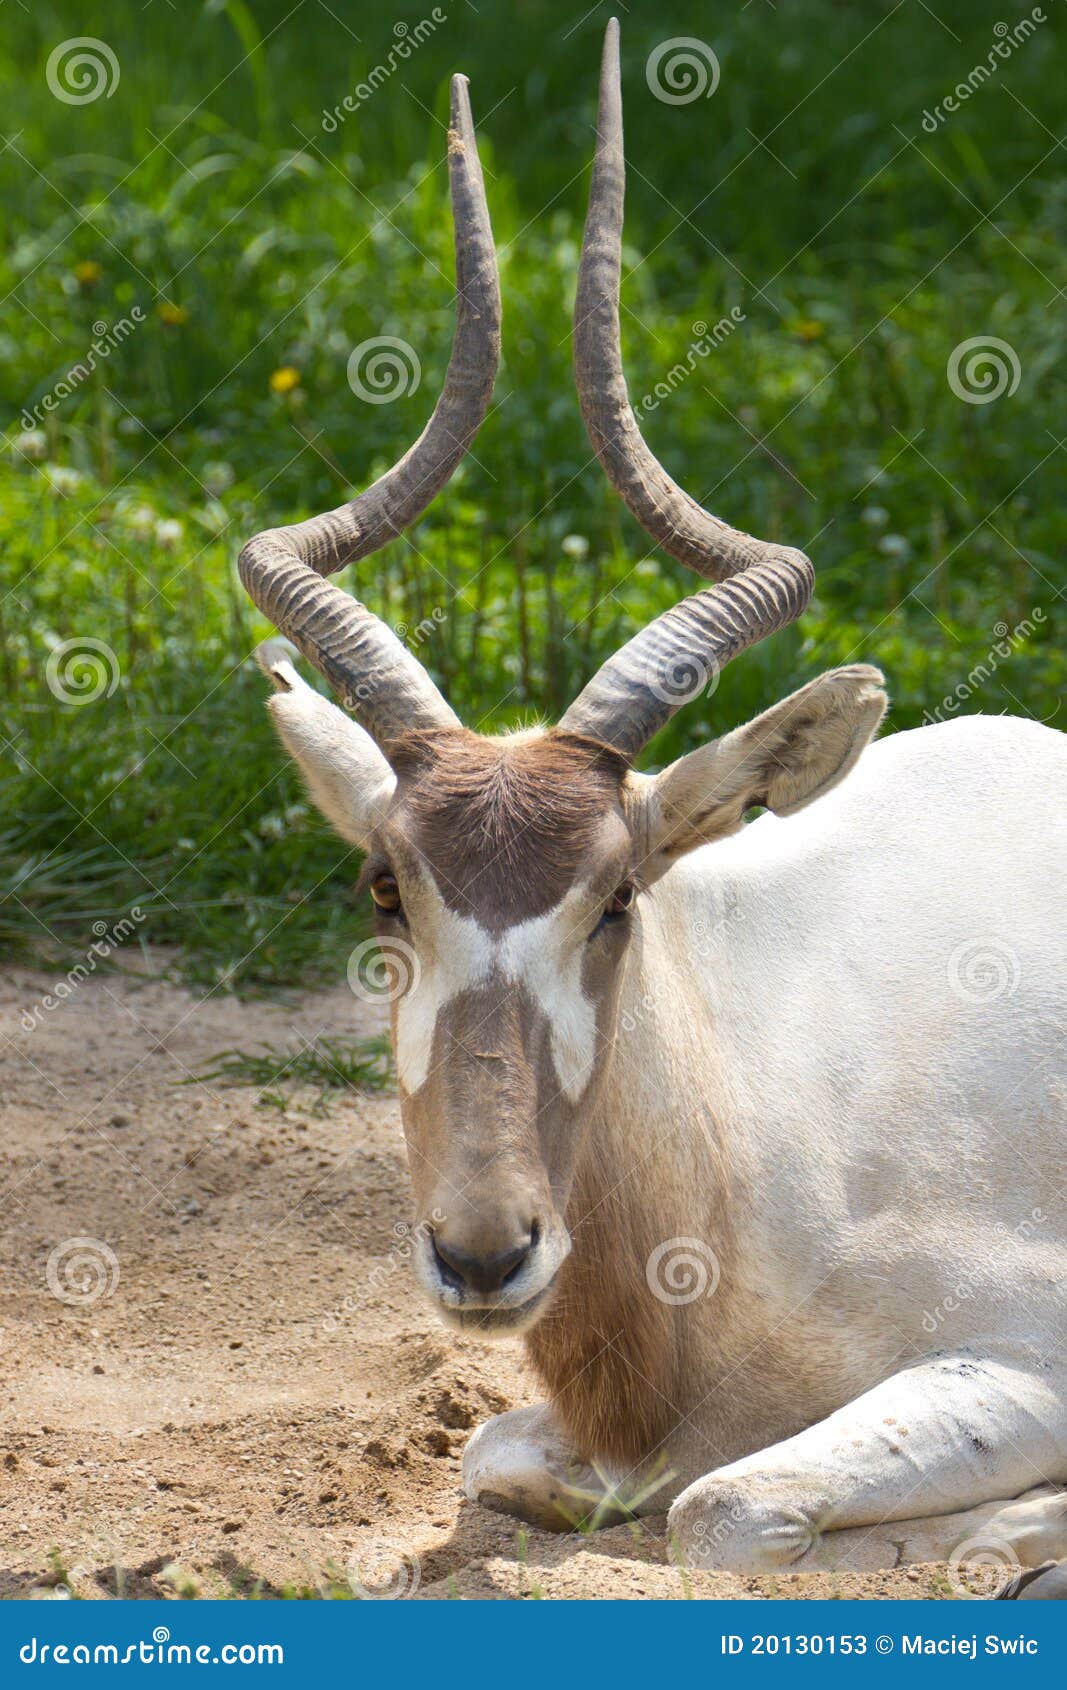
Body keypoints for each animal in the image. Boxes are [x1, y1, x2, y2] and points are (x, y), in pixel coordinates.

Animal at [239, 22, 1067, 1576]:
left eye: (615, 896)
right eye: (385, 888)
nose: (485, 1250)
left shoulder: (1023, 1351)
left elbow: (720, 1503)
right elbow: (511, 1461)